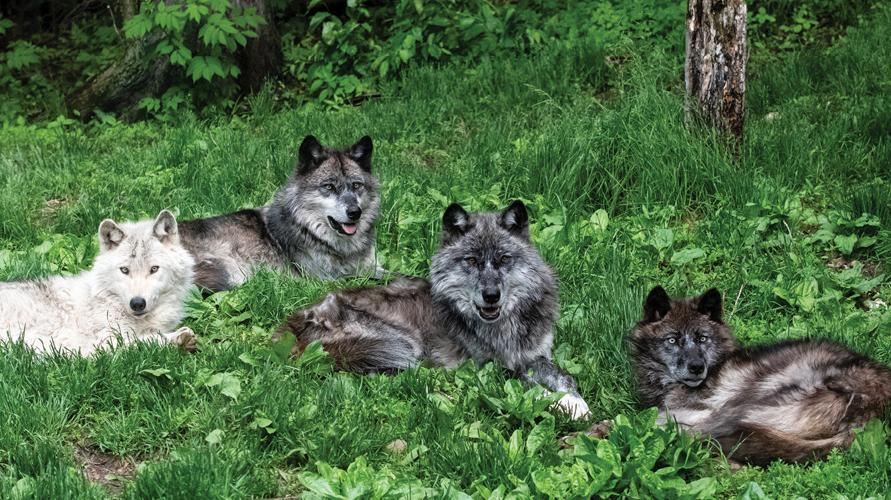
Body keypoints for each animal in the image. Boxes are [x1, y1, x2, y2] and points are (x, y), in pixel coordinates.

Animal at [0, 211, 196, 355]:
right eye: (124, 270)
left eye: (154, 269)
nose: (137, 303)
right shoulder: (104, 343)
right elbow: (144, 342)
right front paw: (178, 338)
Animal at [276, 201, 591, 419]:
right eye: (472, 260)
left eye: (503, 259)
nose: (491, 296)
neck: (504, 324)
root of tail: (288, 330)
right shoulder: (490, 369)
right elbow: (529, 384)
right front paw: (564, 404)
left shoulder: (535, 356)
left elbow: (565, 376)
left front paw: (576, 400)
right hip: (401, 343)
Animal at [629, 286, 891, 465]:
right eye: (673, 340)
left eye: (702, 338)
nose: (696, 367)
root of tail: (874, 412)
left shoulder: (697, 408)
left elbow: (653, 417)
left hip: (744, 402)